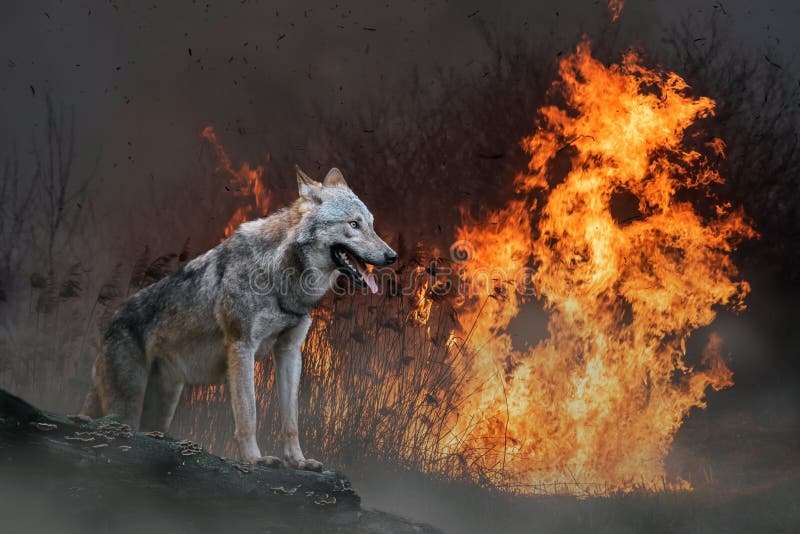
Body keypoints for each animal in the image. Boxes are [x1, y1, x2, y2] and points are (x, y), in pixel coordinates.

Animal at [80, 166, 397, 470]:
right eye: (353, 224)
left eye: (371, 224)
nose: (392, 256)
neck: (281, 278)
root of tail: (110, 324)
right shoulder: (242, 346)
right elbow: (249, 413)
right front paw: (254, 459)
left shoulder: (289, 352)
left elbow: (291, 420)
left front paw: (298, 461)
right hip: (127, 408)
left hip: (161, 410)